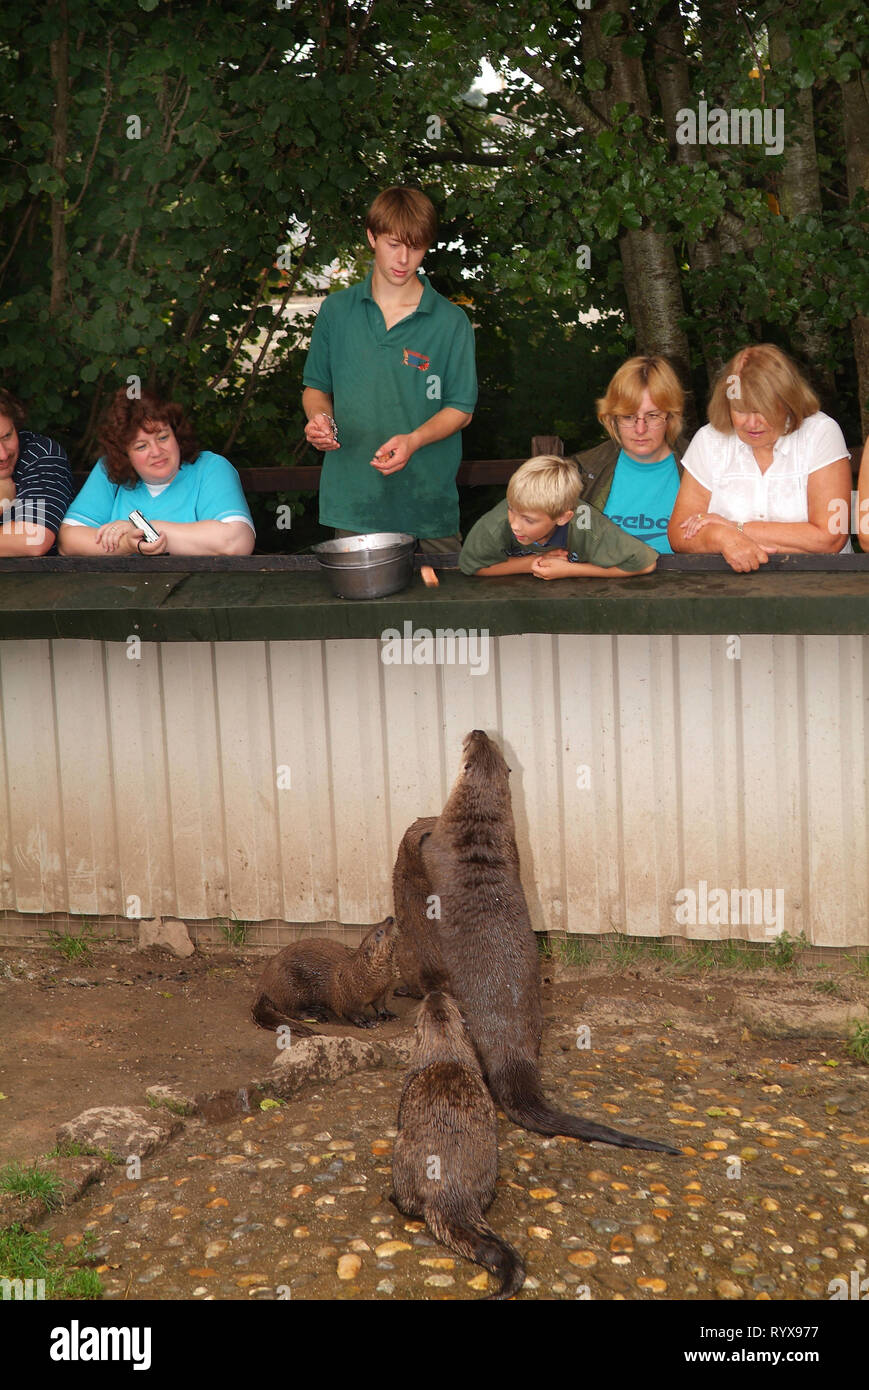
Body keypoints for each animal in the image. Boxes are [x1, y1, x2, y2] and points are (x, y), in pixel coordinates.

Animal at [250, 917, 397, 1034]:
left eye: (379, 922)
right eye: (380, 932)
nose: (390, 918)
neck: (363, 977)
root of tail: (263, 984)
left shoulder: (382, 991)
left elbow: (380, 1005)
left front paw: (388, 1014)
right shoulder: (348, 999)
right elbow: (352, 1013)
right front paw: (366, 1022)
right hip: (289, 988)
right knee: (290, 1010)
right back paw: (314, 1015)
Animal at [420, 731, 680, 1155]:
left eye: (469, 746)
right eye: (490, 742)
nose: (477, 730)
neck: (479, 826)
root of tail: (513, 1052)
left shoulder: (440, 842)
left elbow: (427, 847)